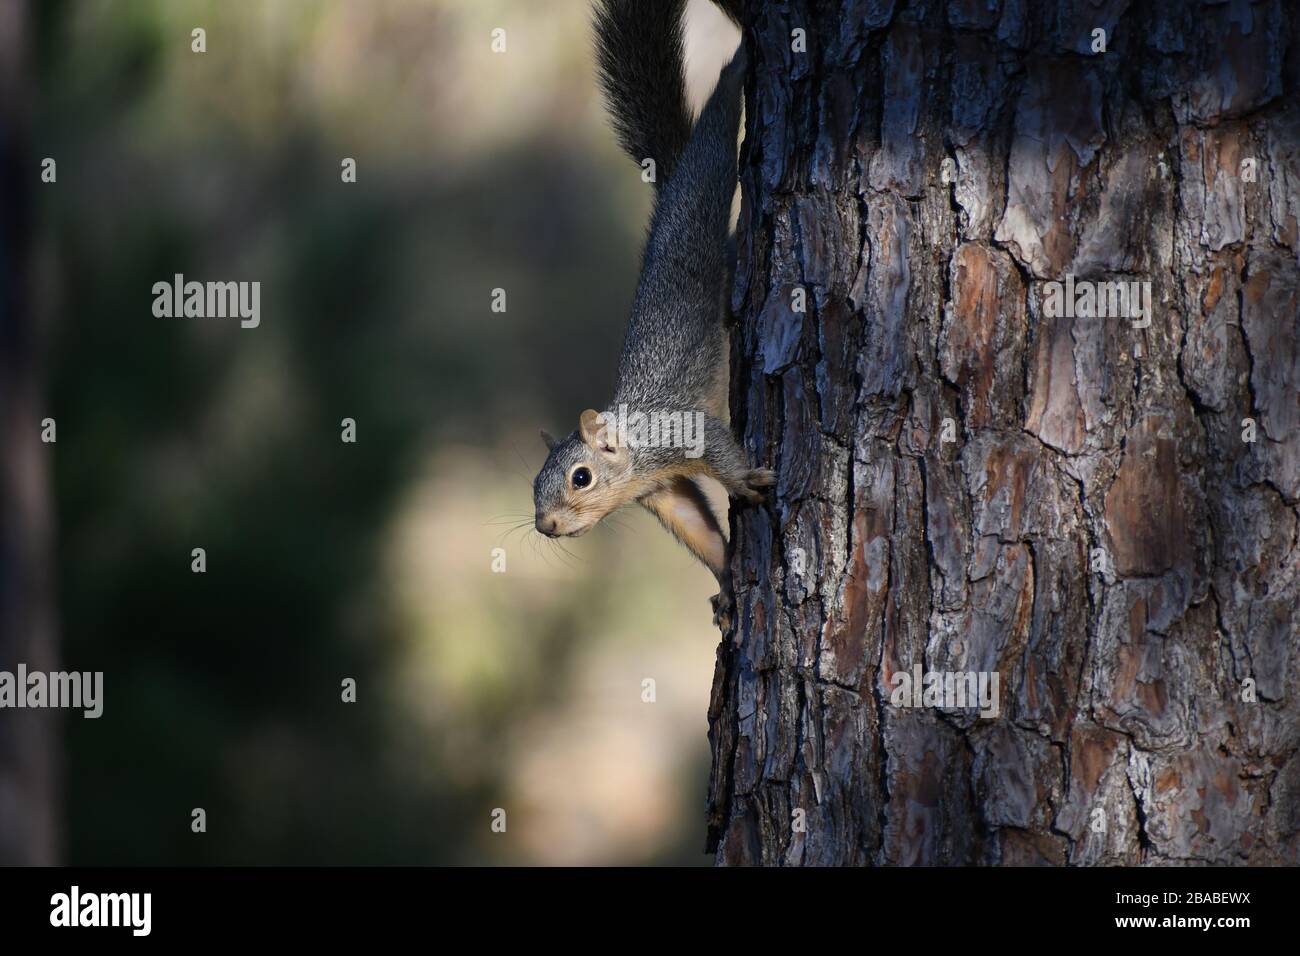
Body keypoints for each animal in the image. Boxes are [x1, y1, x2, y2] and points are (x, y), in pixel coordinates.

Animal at [532, 0, 773, 630]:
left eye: (581, 477)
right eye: (533, 485)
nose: (546, 526)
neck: (637, 454)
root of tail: (669, 188)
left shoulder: (681, 430)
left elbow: (720, 450)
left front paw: (747, 480)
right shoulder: (664, 493)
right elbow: (699, 529)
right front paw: (726, 584)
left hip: (705, 183)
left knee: (718, 127)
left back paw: (740, 59)